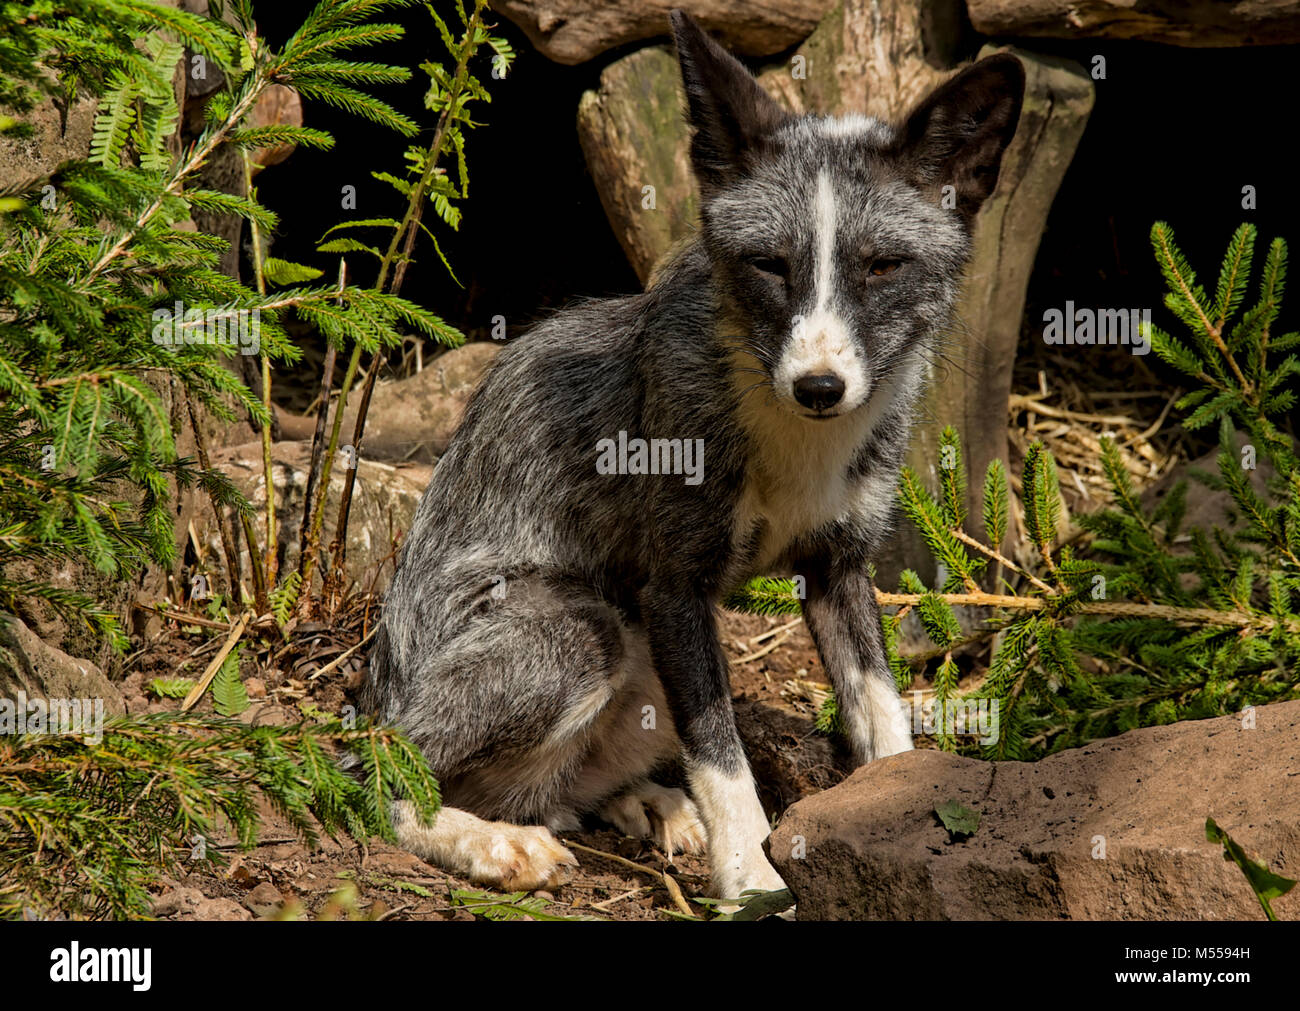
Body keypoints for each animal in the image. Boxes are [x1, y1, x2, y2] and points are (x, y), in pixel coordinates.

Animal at [363, 9, 1024, 902]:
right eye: (770, 265)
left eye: (884, 266)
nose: (819, 385)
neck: (798, 442)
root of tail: (374, 687)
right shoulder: (676, 590)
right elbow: (724, 761)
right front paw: (751, 878)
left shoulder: (839, 567)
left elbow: (883, 718)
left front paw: (894, 815)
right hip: (589, 633)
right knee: (385, 774)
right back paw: (489, 841)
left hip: (638, 674)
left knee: (552, 793)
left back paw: (640, 806)